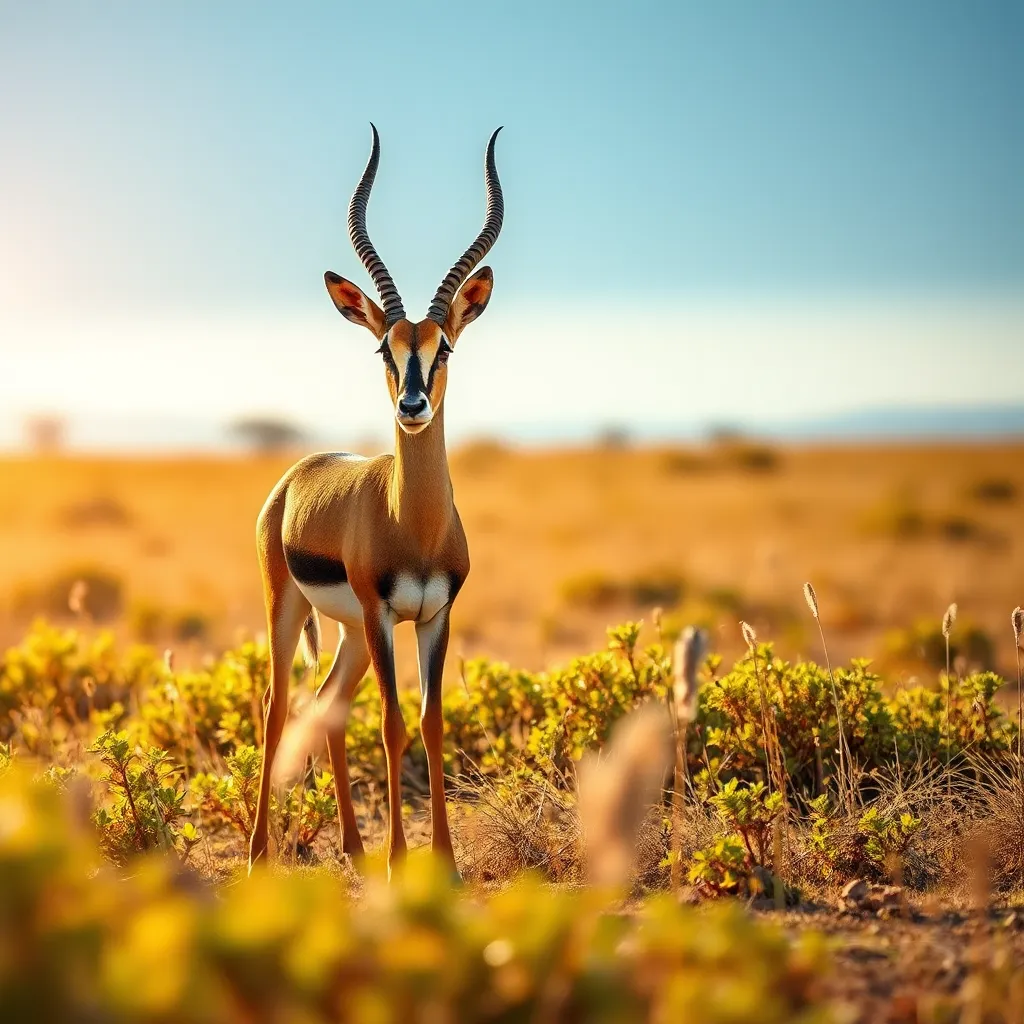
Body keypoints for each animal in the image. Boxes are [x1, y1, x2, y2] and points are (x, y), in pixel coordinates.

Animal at [248, 124, 503, 877]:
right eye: (385, 351)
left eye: (443, 347)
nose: (412, 406)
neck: (411, 522)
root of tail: (297, 476)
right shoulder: (384, 612)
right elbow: (391, 725)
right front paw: (399, 860)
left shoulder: (434, 616)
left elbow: (430, 719)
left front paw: (441, 861)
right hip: (296, 609)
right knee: (278, 704)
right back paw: (262, 853)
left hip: (352, 634)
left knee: (327, 704)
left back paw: (354, 850)